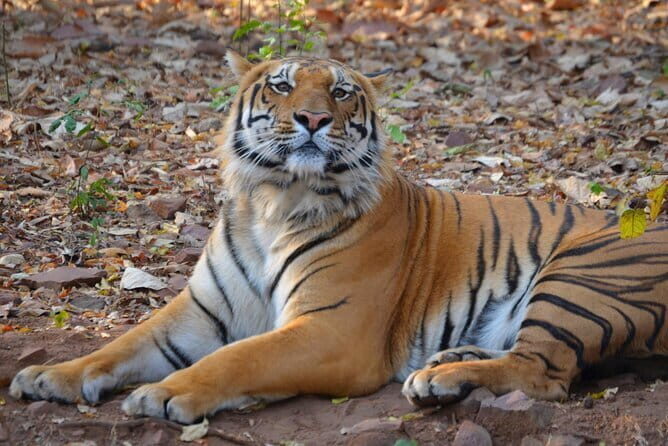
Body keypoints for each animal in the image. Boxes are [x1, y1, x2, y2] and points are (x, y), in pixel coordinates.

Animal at [10, 51, 668, 425]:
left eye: (342, 91)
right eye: (281, 86)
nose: (313, 119)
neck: (274, 200)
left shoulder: (332, 329)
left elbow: (240, 356)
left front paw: (168, 395)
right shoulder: (198, 312)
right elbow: (120, 345)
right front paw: (49, 379)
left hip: (582, 272)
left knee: (547, 373)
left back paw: (439, 381)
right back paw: (451, 361)